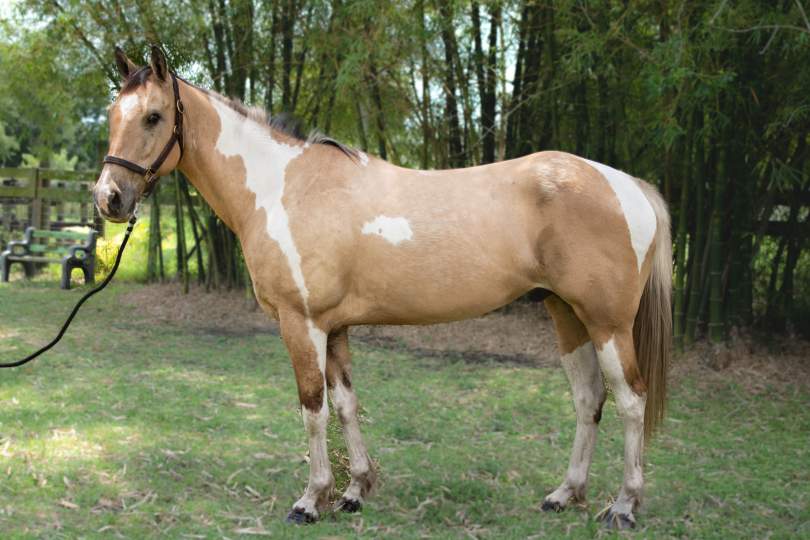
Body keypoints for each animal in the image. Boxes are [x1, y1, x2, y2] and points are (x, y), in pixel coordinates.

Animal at [94, 46, 671, 529]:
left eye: (153, 116)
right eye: (113, 116)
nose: (109, 199)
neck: (284, 188)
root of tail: (627, 184)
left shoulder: (301, 325)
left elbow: (312, 409)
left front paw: (312, 499)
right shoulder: (335, 328)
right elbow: (346, 404)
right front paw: (355, 491)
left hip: (607, 323)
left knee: (631, 401)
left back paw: (623, 506)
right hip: (566, 314)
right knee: (588, 398)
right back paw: (564, 494)